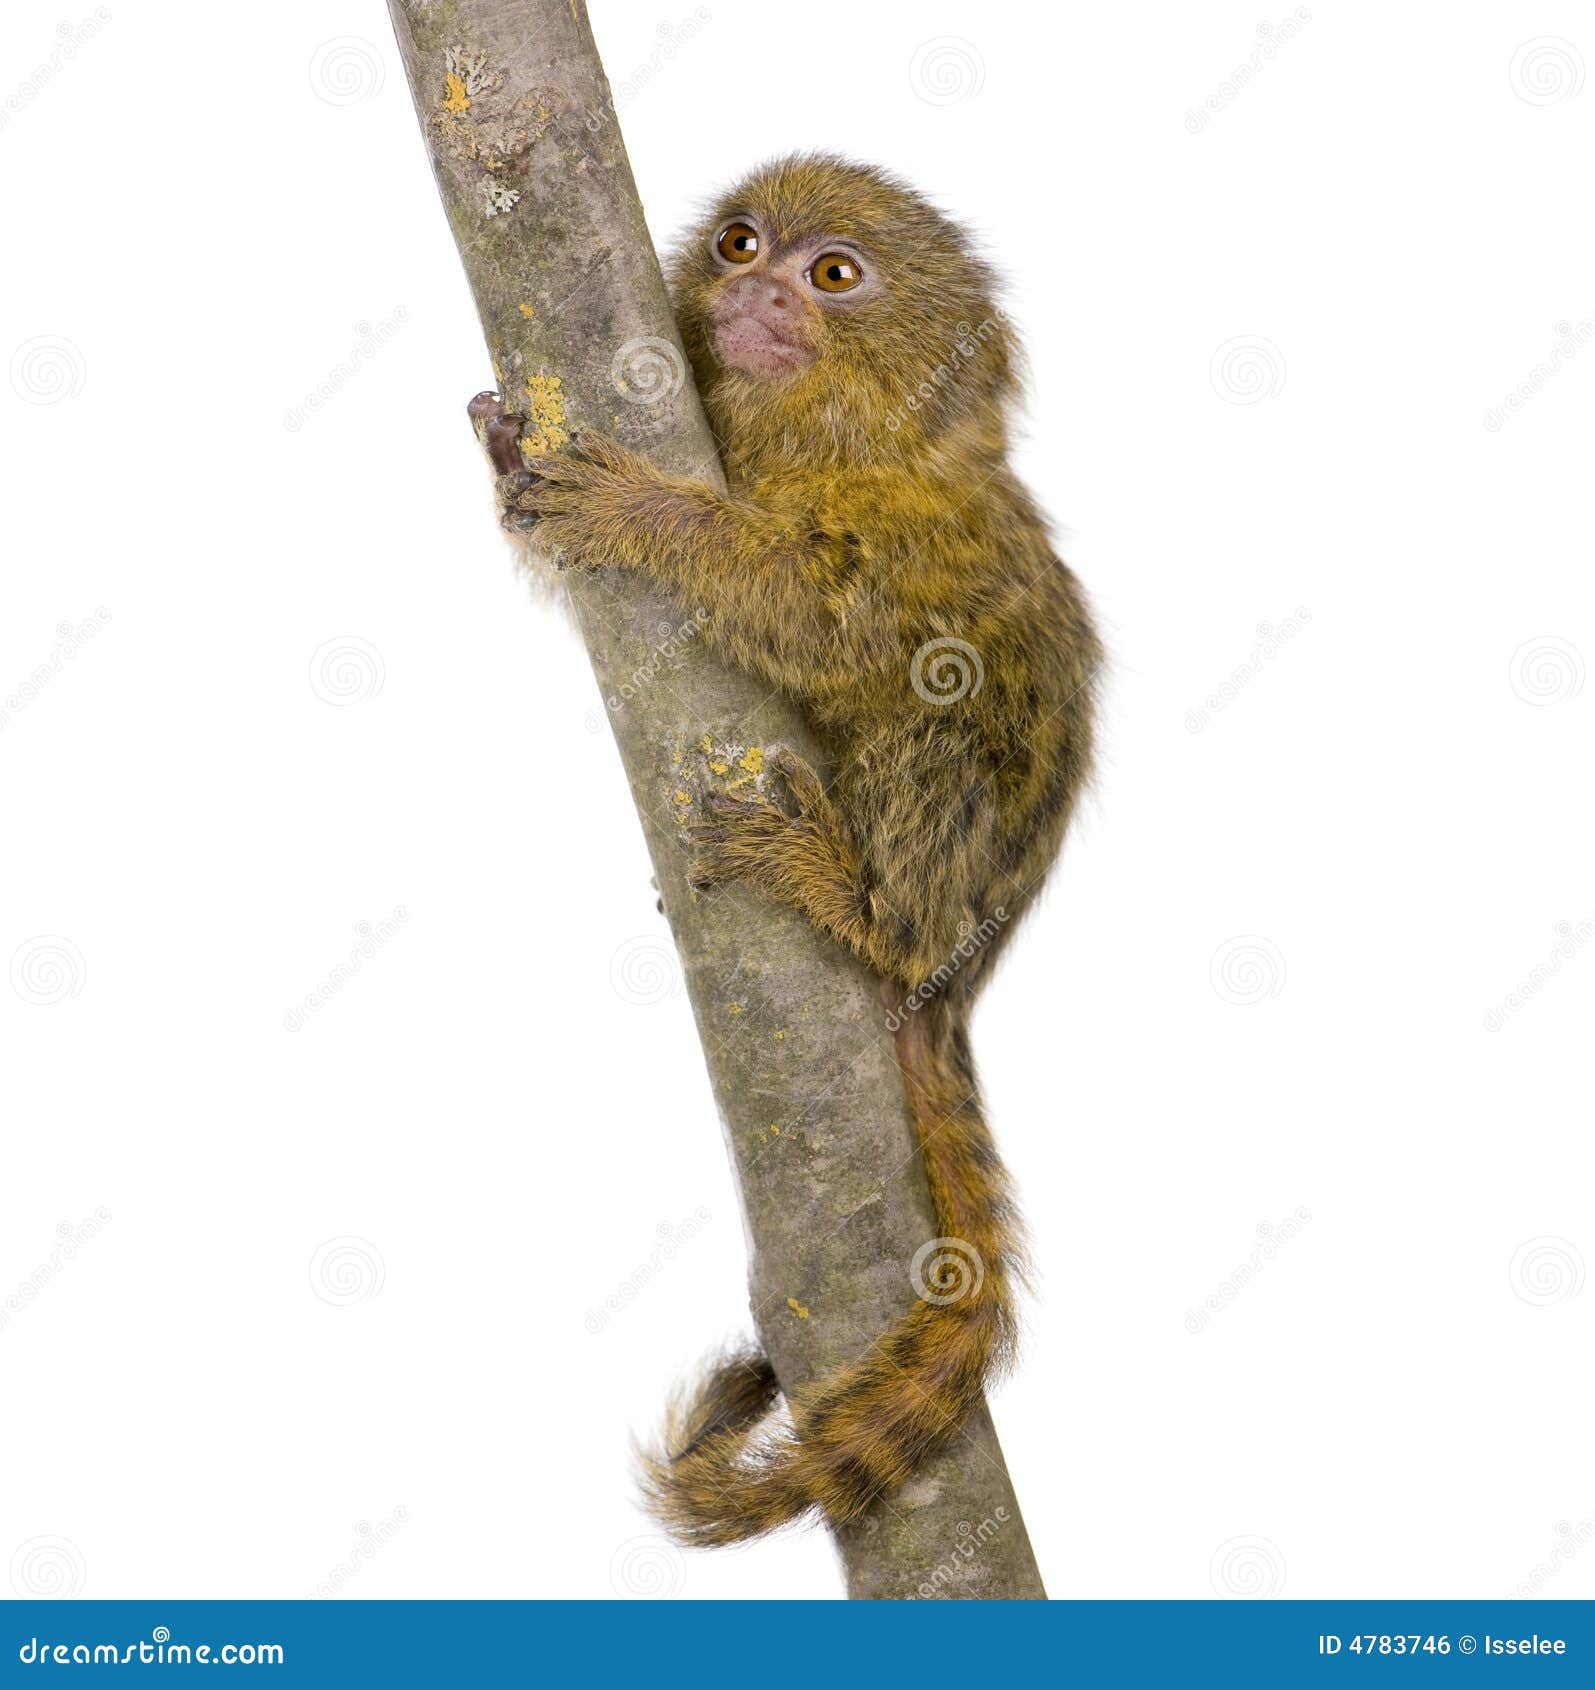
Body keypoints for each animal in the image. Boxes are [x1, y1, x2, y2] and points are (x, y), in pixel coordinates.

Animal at [467, 154, 1102, 1547]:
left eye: (833, 275)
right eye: (739, 244)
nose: (755, 292)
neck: (836, 440)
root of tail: (957, 985)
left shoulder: (903, 548)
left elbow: (814, 613)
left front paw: (645, 510)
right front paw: (505, 445)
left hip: (940, 877)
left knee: (944, 745)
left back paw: (841, 897)